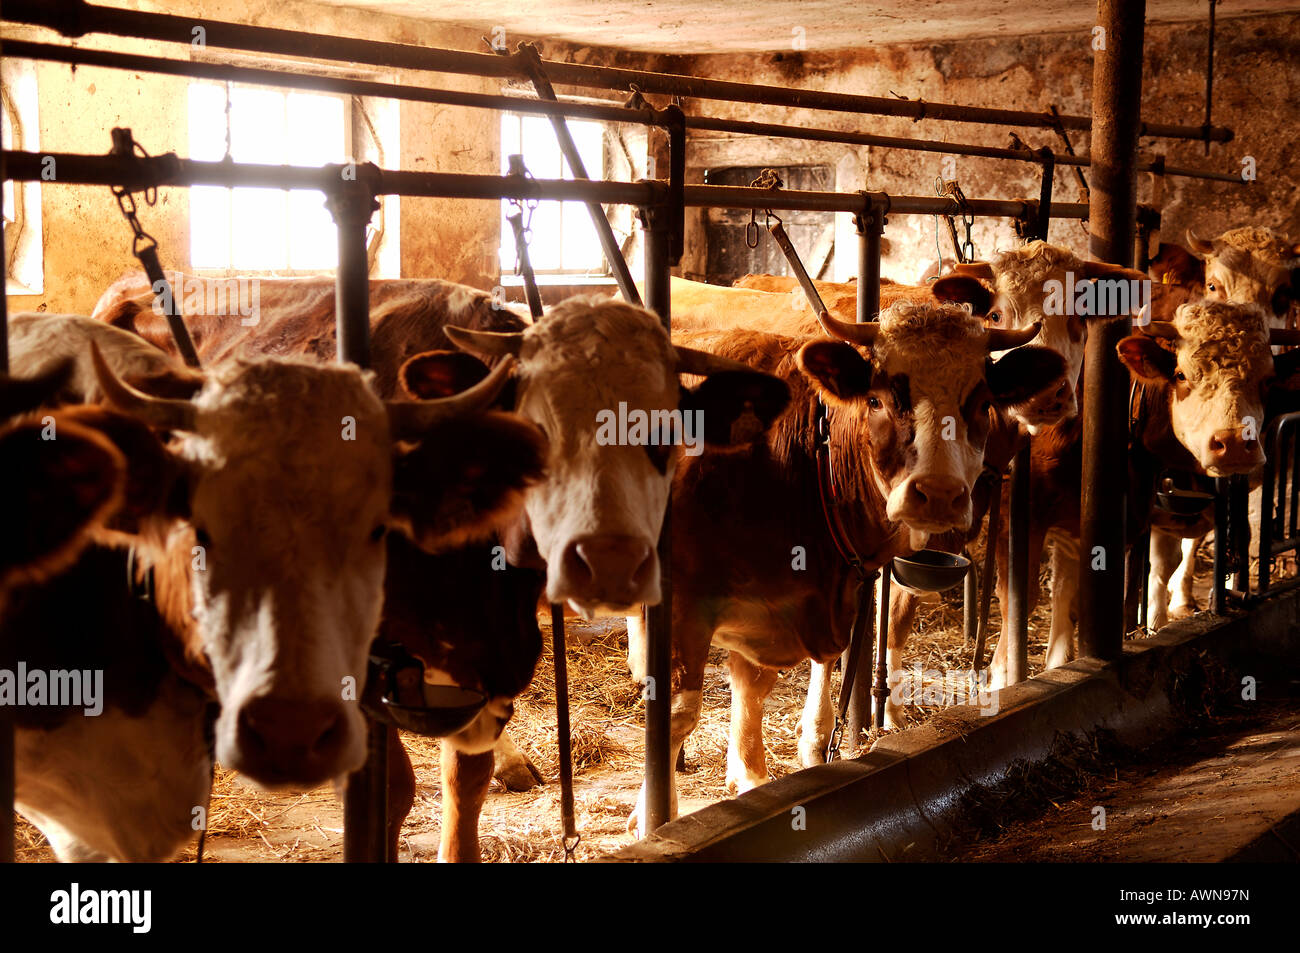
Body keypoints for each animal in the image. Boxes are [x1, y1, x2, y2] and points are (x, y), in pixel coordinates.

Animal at [624, 300, 1066, 835]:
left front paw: (752, 777)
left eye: (981, 403)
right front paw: (652, 822)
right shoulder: (678, 606)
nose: (939, 494)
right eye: (876, 400)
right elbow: (676, 715)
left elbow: (753, 690)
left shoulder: (773, 607)